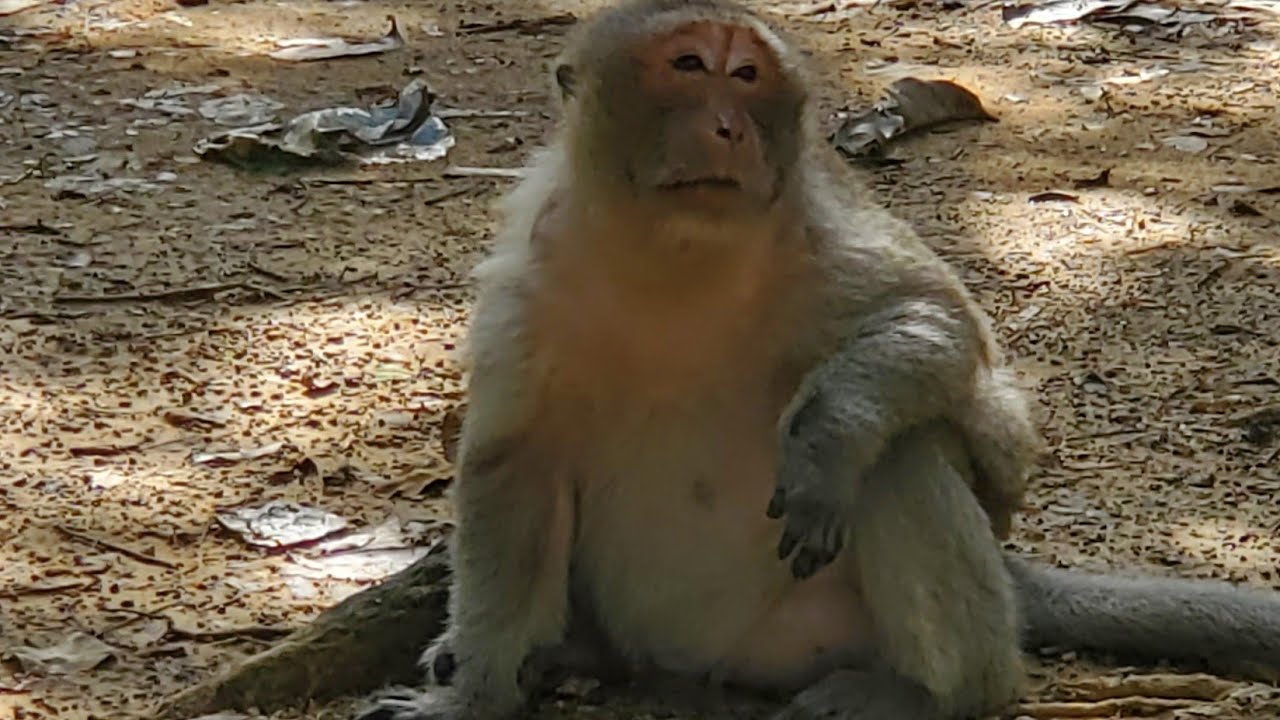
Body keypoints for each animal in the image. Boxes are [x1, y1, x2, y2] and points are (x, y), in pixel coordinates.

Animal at [357, 1, 1280, 719]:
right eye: (688, 66)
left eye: (746, 77)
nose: (726, 127)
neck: (675, 257)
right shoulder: (528, 285)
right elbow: (514, 470)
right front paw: (472, 695)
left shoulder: (819, 237)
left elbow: (946, 333)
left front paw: (825, 443)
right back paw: (569, 656)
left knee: (901, 456)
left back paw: (940, 692)